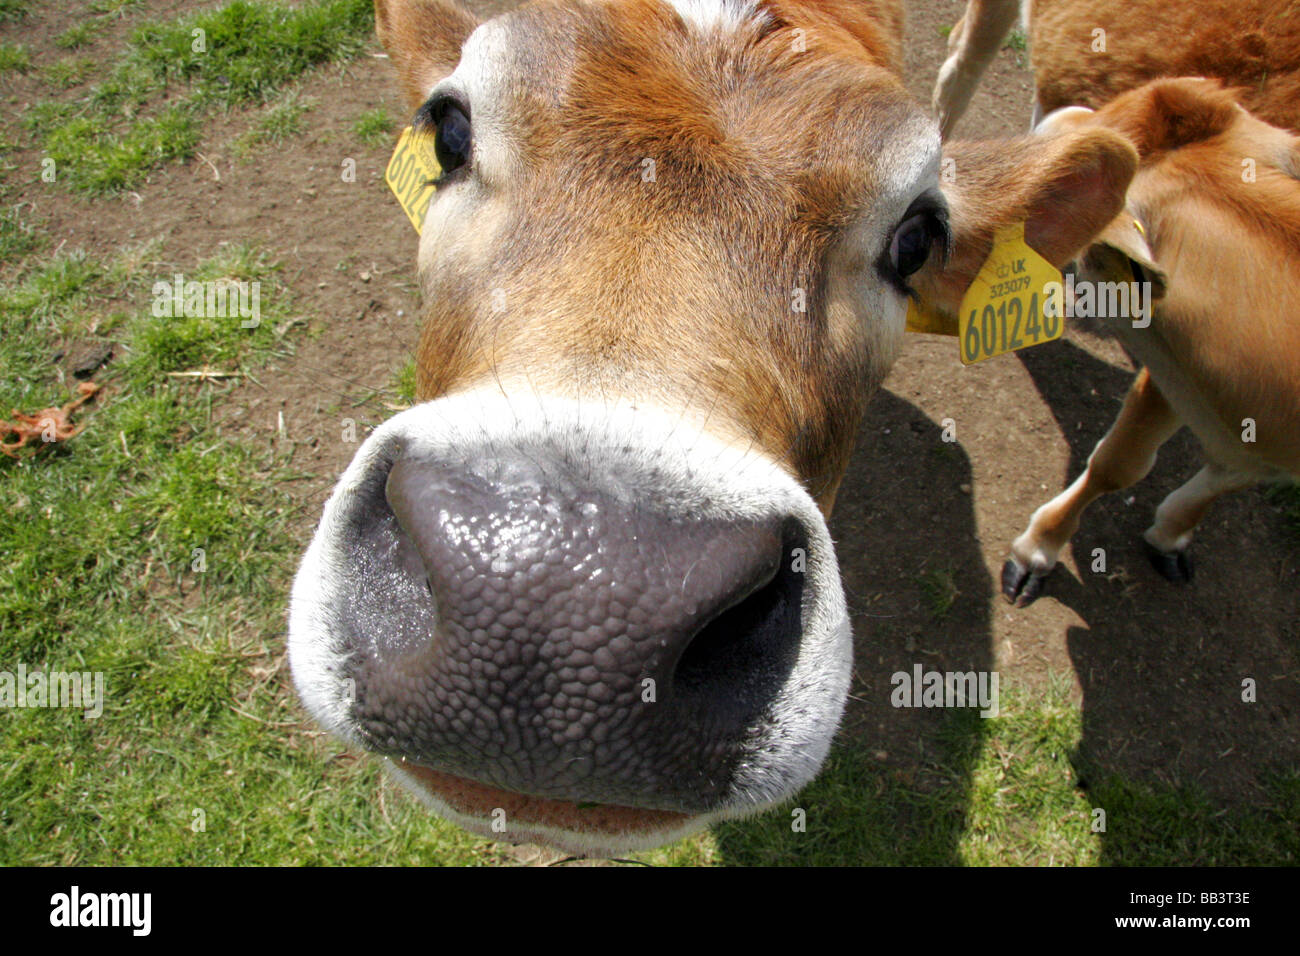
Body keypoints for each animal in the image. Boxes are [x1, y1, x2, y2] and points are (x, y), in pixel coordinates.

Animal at [933, 0, 1300, 605]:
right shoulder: (1170, 374)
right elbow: (1119, 465)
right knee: (960, 64)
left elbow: (1223, 479)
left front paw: (1172, 534)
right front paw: (1037, 552)